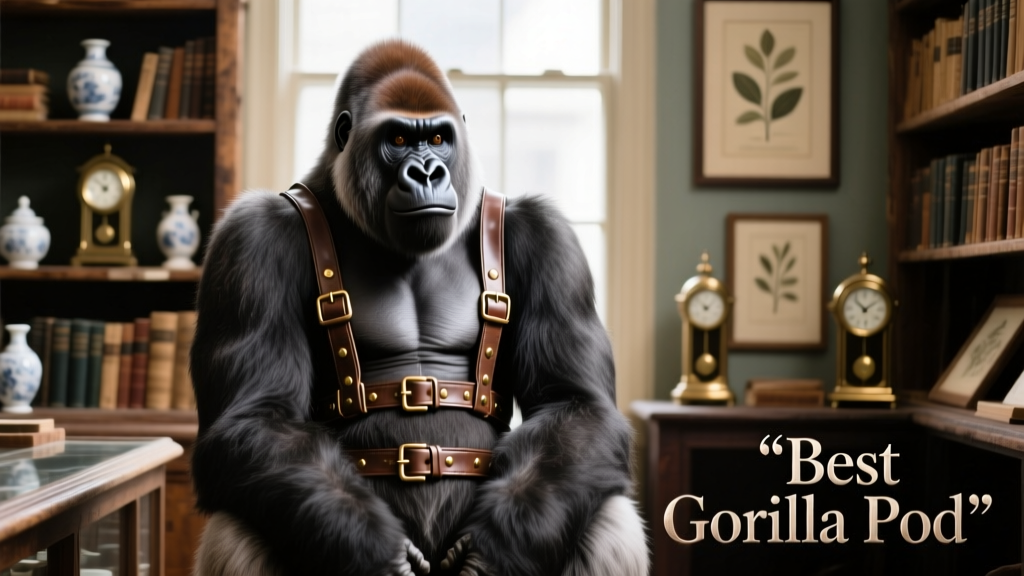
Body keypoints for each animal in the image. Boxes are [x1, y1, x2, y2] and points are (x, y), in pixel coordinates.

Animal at [190, 40, 648, 576]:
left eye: (437, 137)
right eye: (398, 139)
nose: (427, 172)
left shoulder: (547, 234)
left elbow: (575, 403)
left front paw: (491, 550)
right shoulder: (250, 237)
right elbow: (255, 415)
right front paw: (375, 555)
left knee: (607, 514)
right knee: (239, 524)